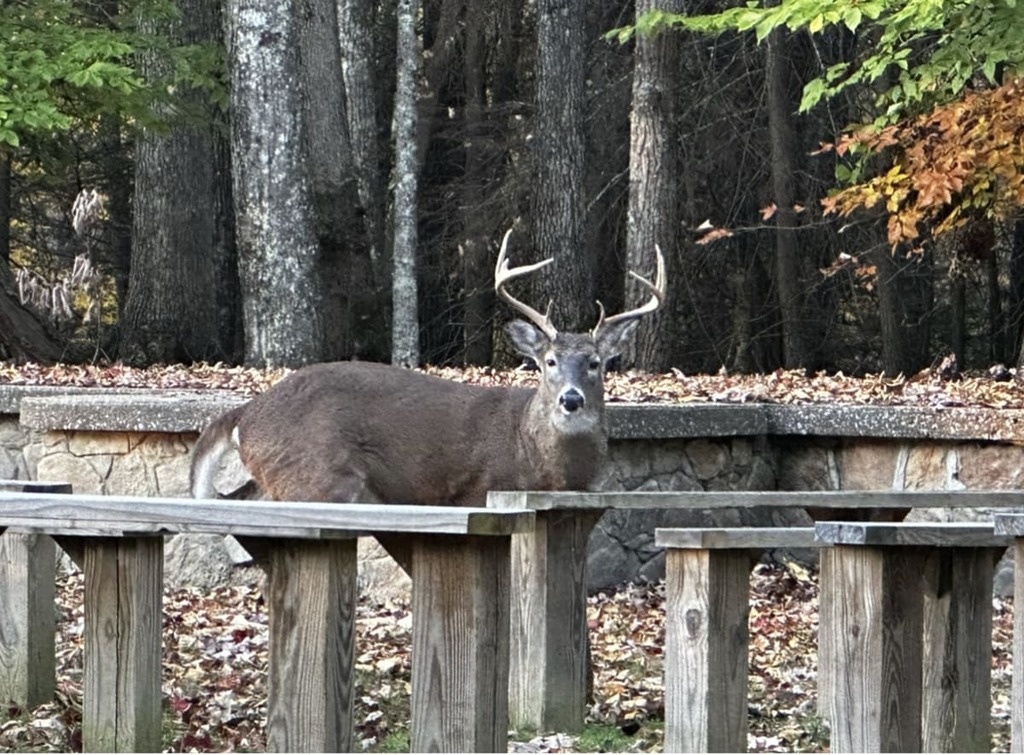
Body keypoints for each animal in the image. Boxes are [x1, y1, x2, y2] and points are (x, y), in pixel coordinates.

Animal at [190, 228, 665, 524]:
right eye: (548, 361)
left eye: (595, 362)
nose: (571, 399)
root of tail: (245, 413)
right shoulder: (480, 489)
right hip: (315, 476)